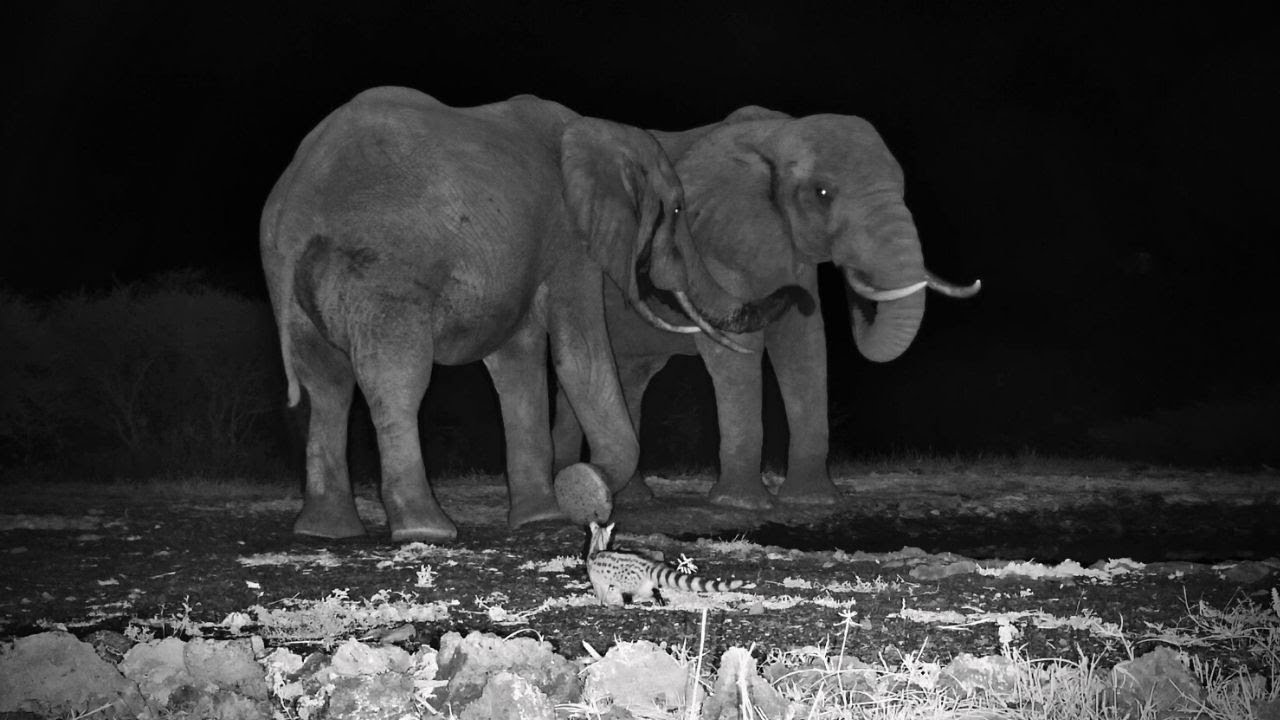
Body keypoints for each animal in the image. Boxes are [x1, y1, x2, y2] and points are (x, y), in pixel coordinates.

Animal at [260, 88, 808, 541]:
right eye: (675, 211)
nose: (800, 294)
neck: (597, 129)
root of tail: (296, 207)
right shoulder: (567, 235)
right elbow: (579, 352)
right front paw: (583, 489)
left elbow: (518, 361)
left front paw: (540, 516)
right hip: (384, 270)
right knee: (397, 380)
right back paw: (428, 531)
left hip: (303, 289)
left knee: (326, 384)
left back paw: (326, 532)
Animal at [552, 106, 980, 510]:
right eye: (822, 193)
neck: (775, 134)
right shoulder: (714, 243)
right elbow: (740, 349)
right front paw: (741, 504)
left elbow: (805, 342)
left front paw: (814, 500)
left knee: (631, 377)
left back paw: (631, 499)